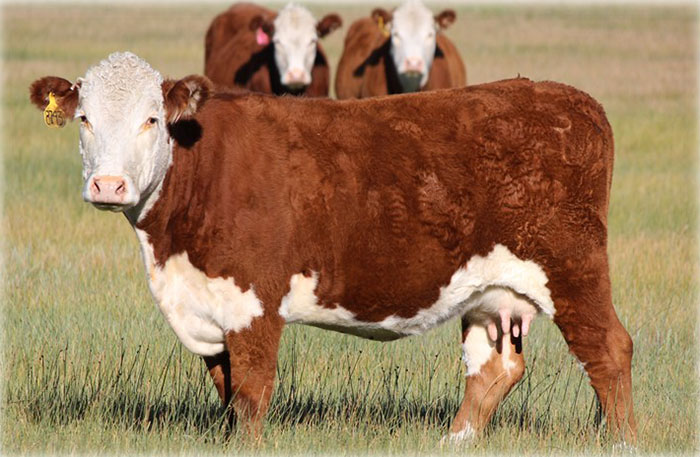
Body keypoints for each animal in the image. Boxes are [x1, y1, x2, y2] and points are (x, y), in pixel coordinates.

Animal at [29, 52, 636, 444]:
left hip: (572, 266)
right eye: (84, 119)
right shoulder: (206, 303)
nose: (108, 185)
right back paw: (453, 441)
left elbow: (251, 394)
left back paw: (623, 440)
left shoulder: (254, 300)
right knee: (494, 368)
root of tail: (568, 97)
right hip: (491, 288)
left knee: (610, 350)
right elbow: (226, 392)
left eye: (152, 118)